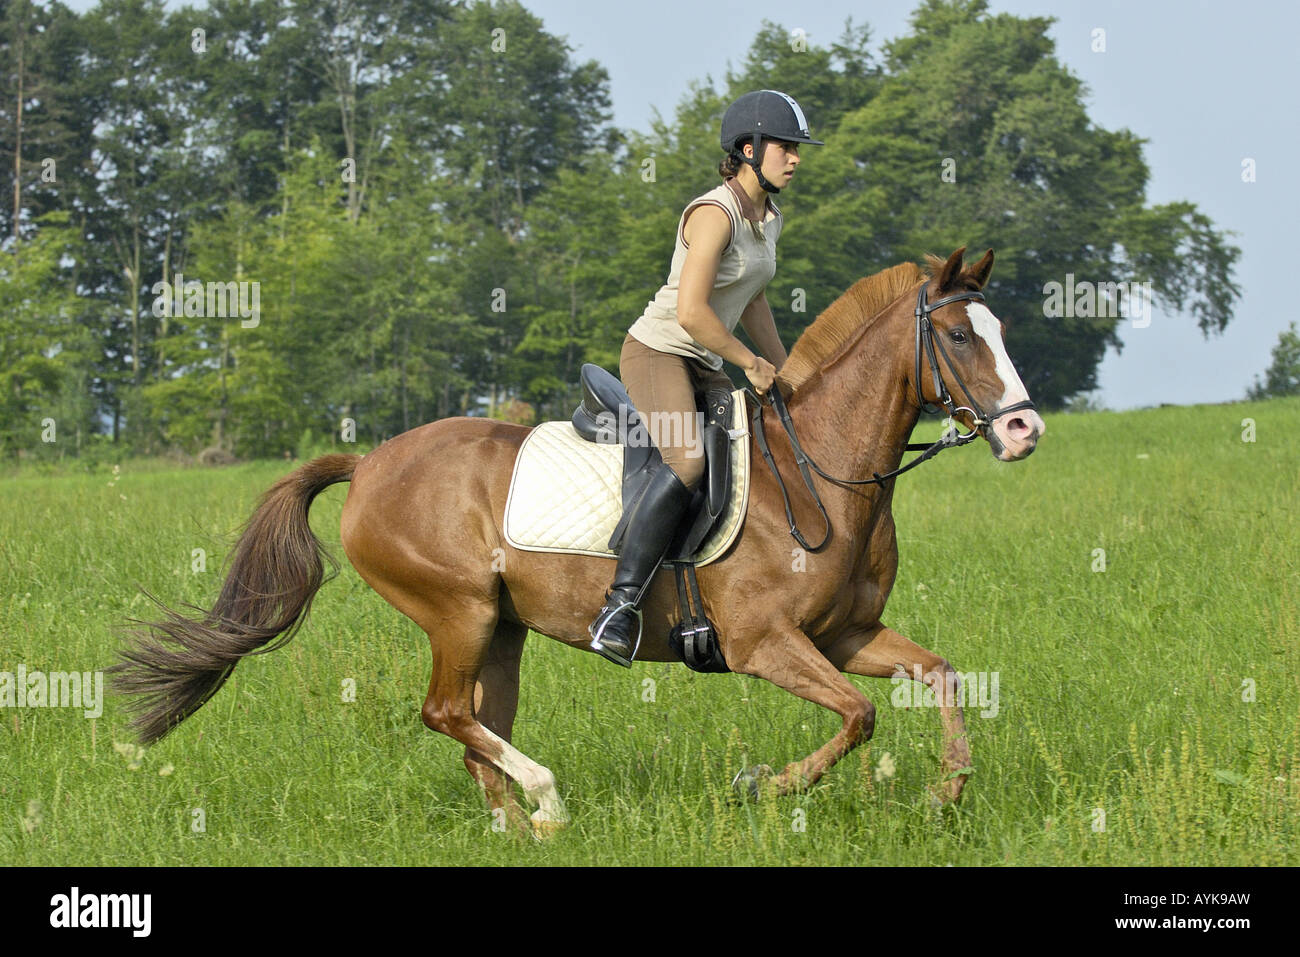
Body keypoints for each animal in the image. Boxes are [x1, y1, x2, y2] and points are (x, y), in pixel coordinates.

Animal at [109, 246, 1045, 837]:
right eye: (959, 335)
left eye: (1002, 332)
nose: (1025, 429)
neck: (820, 467)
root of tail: (369, 461)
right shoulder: (764, 642)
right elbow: (859, 715)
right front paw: (762, 785)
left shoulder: (845, 634)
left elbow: (938, 675)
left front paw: (945, 796)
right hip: (457, 608)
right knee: (446, 712)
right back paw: (549, 802)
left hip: (501, 629)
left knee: (476, 730)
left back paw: (519, 826)